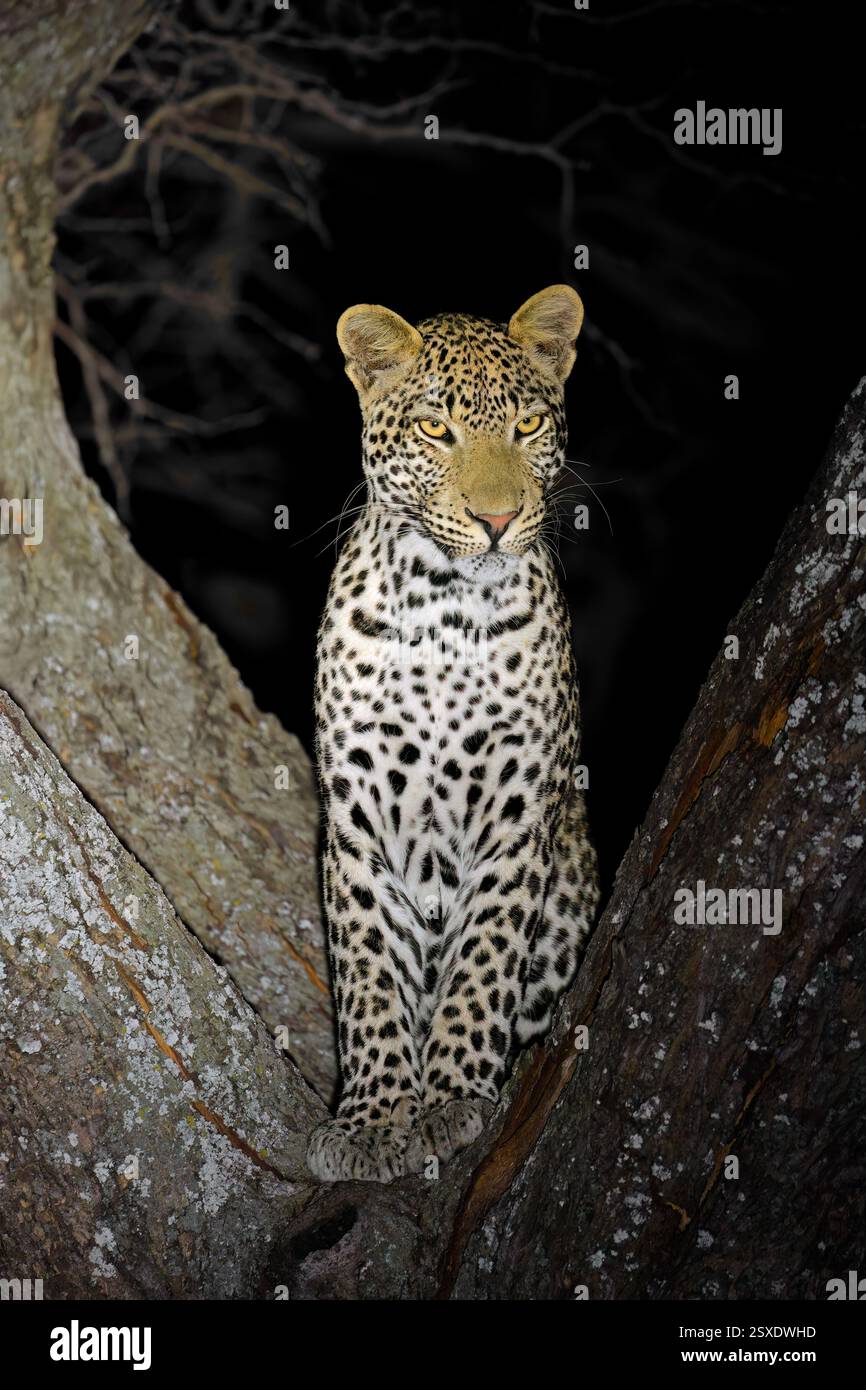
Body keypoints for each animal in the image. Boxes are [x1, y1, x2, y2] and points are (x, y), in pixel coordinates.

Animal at [307, 285, 600, 1183]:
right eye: (437, 430)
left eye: (529, 426)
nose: (497, 518)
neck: (446, 613)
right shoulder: (357, 825)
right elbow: (369, 976)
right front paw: (372, 1119)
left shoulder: (516, 820)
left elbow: (483, 958)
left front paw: (451, 1099)